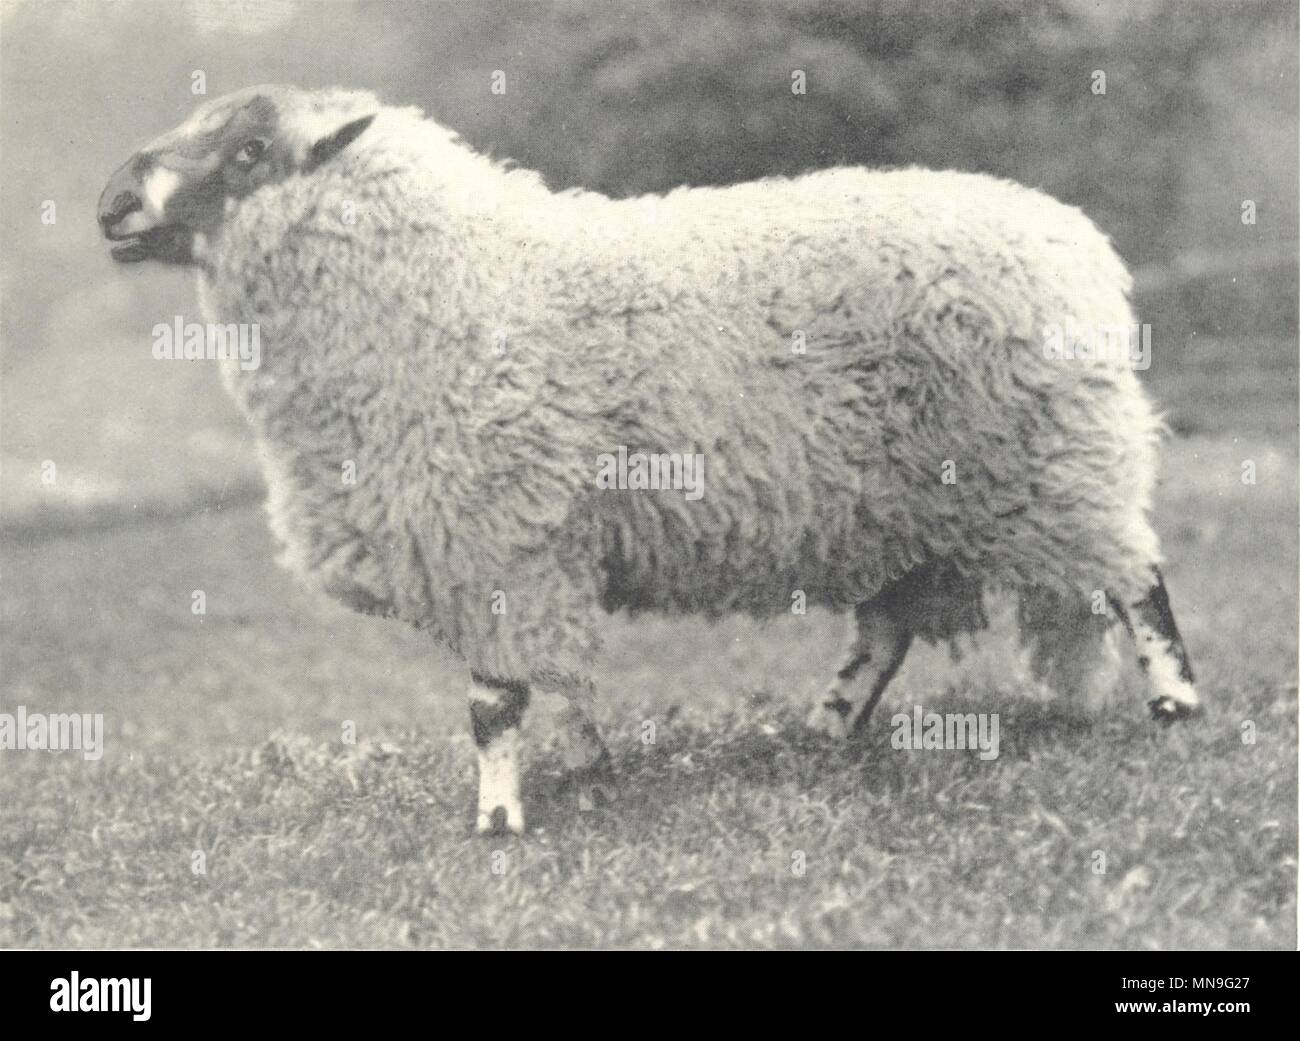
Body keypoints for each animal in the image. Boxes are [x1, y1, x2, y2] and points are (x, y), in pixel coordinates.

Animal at [98, 84, 1201, 834]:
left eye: (250, 150)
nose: (111, 203)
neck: (442, 280)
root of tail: (1071, 237)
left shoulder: (498, 537)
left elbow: (491, 703)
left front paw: (499, 820)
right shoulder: (523, 551)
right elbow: (550, 680)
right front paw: (587, 763)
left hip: (1050, 461)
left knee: (1135, 579)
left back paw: (1174, 703)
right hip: (901, 502)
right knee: (887, 631)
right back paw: (821, 729)